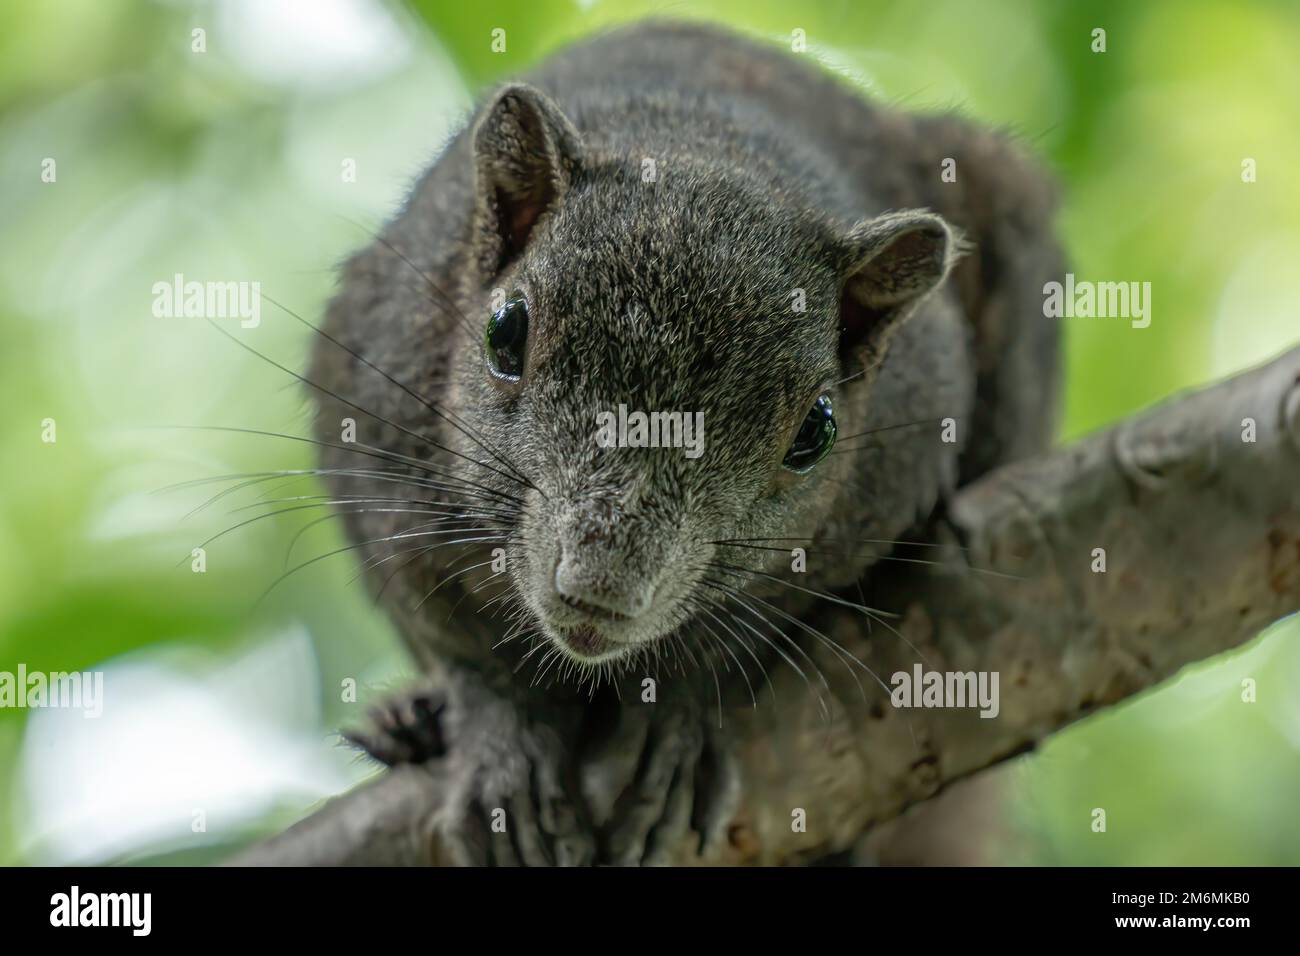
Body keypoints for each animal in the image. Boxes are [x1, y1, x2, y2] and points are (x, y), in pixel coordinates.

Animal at [309, 20, 1063, 865]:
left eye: (816, 432)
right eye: (505, 332)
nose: (599, 587)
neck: (707, 149)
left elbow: (744, 634)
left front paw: (678, 718)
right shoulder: (374, 416)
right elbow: (450, 629)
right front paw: (501, 737)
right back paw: (411, 724)